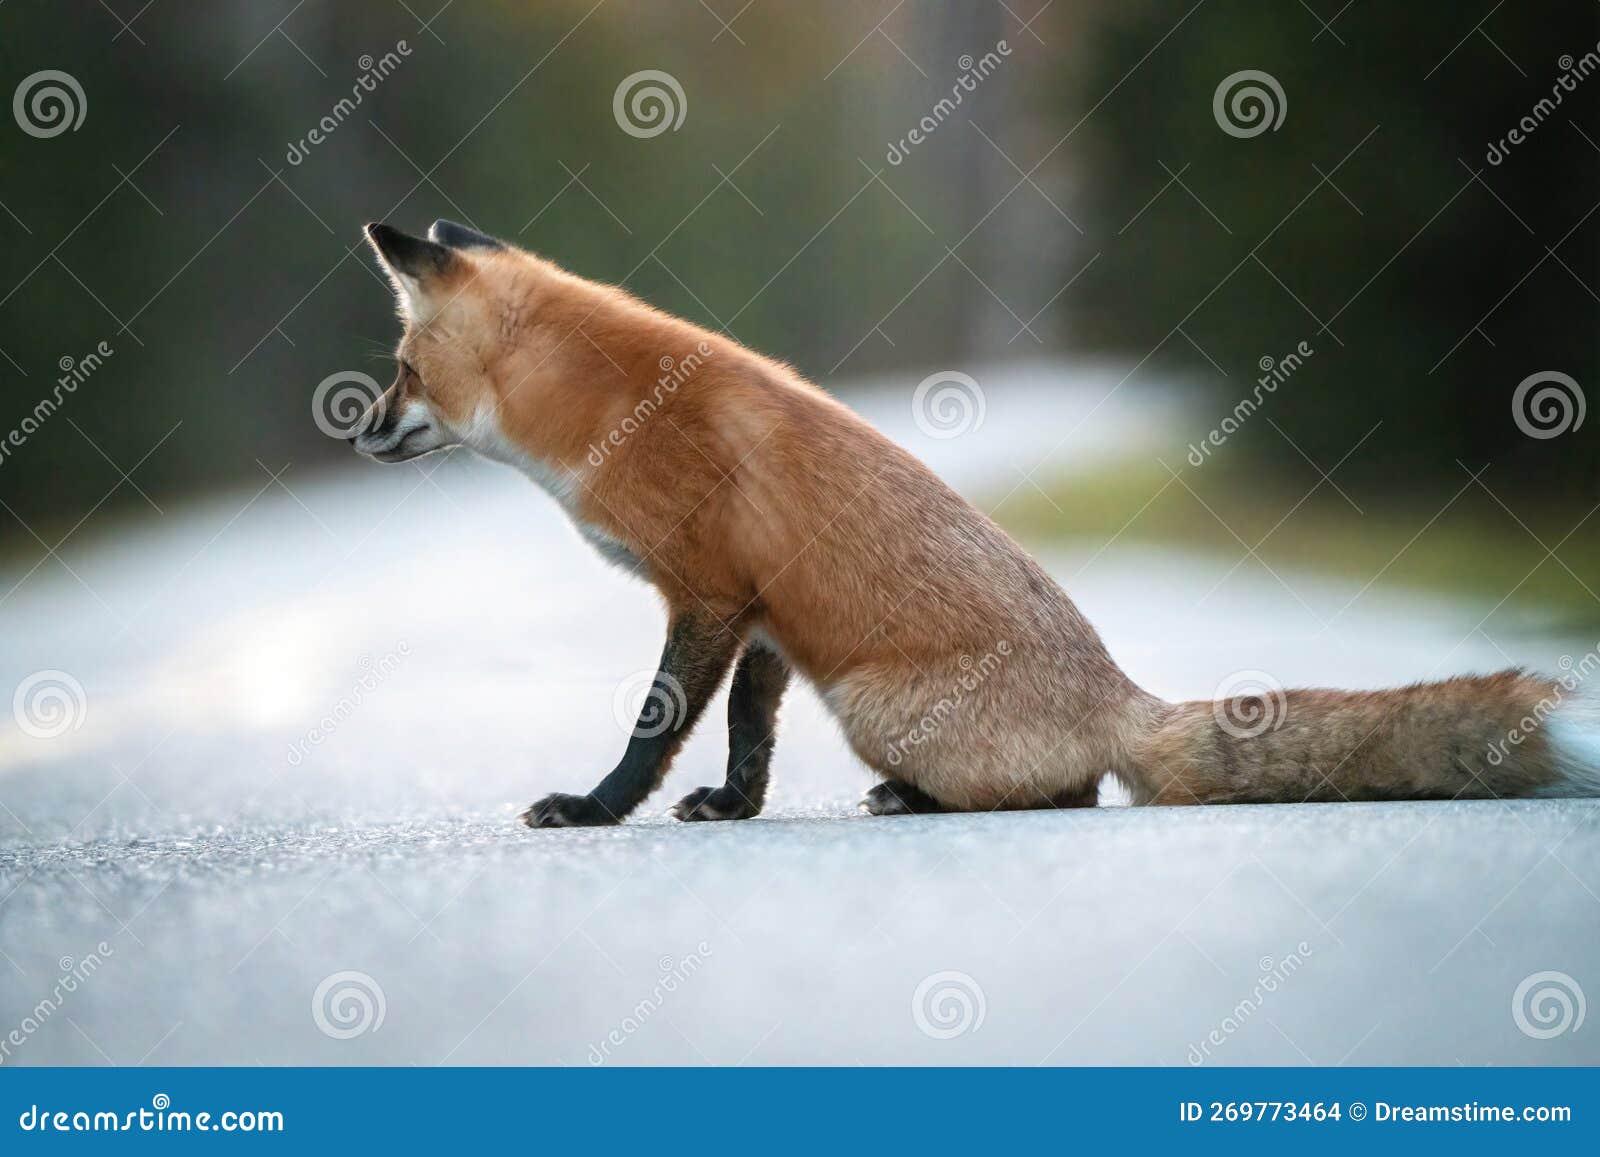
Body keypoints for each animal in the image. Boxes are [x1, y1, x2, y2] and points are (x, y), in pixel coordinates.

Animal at [351, 219, 1600, 826]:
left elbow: (653, 728)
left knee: (1074, 792)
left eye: (401, 367)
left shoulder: (705, 591)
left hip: (871, 703)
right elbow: (748, 734)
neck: (610, 405)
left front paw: (596, 809)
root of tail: (1119, 694)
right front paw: (734, 807)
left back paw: (912, 798)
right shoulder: (763, 612)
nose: (355, 427)